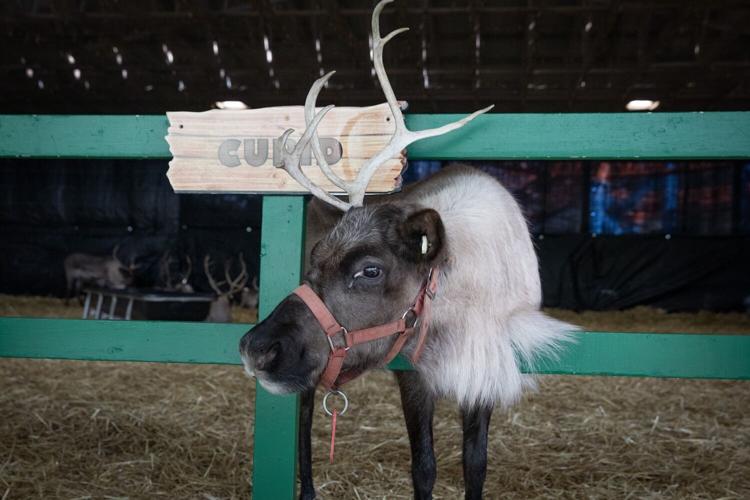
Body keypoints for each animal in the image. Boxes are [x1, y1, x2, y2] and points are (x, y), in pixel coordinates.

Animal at [239, 1, 576, 498]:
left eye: (370, 270)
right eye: (314, 261)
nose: (254, 347)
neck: (467, 294)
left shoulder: (486, 370)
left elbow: (476, 464)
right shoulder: (411, 372)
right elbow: (424, 467)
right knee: (305, 409)